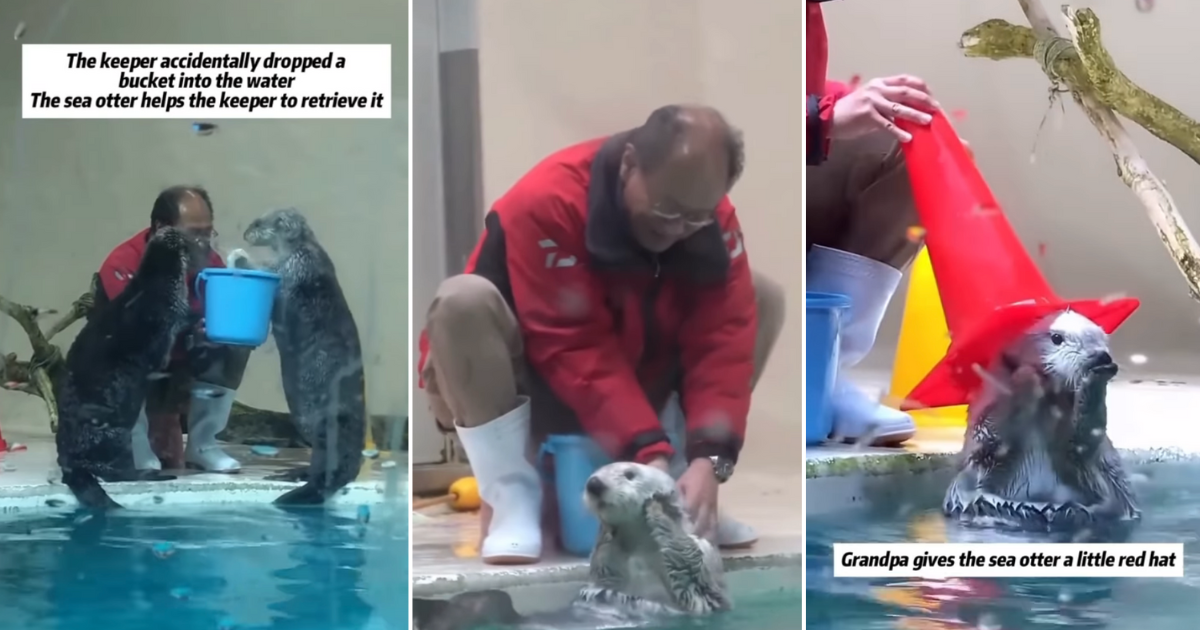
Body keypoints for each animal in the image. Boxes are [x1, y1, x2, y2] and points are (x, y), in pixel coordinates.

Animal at [55, 227, 191, 509]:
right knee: (118, 474)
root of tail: (70, 463)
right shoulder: (167, 320)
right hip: (115, 436)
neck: (154, 286)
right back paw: (153, 473)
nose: (180, 231)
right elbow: (159, 359)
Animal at [240, 207, 365, 505]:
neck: (304, 250)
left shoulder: (289, 269)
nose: (246, 233)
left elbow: (266, 272)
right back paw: (291, 473)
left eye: (257, 223)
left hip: (324, 424)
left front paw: (240, 257)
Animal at [414, 462, 731, 630]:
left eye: (630, 474)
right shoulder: (609, 572)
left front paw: (657, 509)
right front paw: (606, 532)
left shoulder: (702, 569)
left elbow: (688, 568)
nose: (594, 484)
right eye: (593, 474)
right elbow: (605, 571)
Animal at [943, 309, 1141, 532]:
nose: (1101, 355)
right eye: (1056, 337)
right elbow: (987, 438)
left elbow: (1082, 443)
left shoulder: (1088, 459)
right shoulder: (982, 447)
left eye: (1102, 338)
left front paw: (1096, 378)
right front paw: (1026, 375)